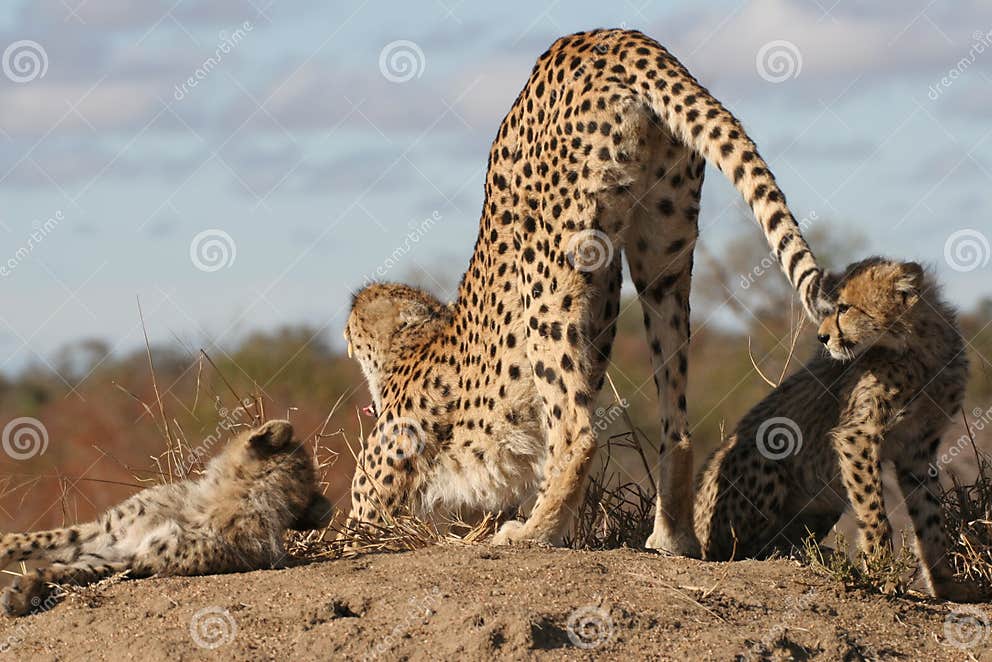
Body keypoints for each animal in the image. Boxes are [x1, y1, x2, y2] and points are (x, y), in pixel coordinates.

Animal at [0, 419, 332, 616]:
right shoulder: (103, 533)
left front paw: (22, 593)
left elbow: (62, 572)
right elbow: (34, 540)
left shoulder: (133, 558)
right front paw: (9, 556)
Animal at [343, 28, 833, 556]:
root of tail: (613, 37)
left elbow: (353, 531)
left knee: (576, 432)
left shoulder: (380, 480)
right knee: (675, 422)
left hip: (548, 264)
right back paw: (672, 537)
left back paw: (533, 533)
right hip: (661, 255)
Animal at [694, 257, 983, 602]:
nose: (822, 337)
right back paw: (812, 556)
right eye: (833, 307)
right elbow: (874, 512)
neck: (916, 347)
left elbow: (930, 518)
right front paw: (882, 573)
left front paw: (944, 583)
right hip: (764, 457)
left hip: (824, 502)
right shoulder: (857, 436)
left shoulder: (917, 451)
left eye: (844, 308)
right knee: (742, 550)